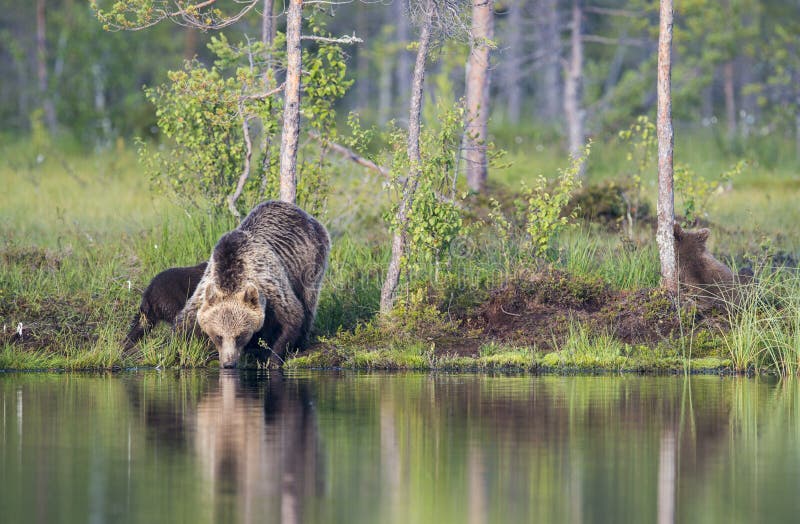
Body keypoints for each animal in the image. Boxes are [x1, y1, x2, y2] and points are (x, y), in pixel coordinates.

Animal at [175, 201, 330, 368]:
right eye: (218, 336)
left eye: (239, 336)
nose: (229, 363)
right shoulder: (205, 287)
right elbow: (186, 322)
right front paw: (177, 348)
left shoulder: (270, 285)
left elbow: (291, 317)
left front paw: (273, 357)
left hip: (310, 259)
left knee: (308, 301)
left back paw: (301, 342)